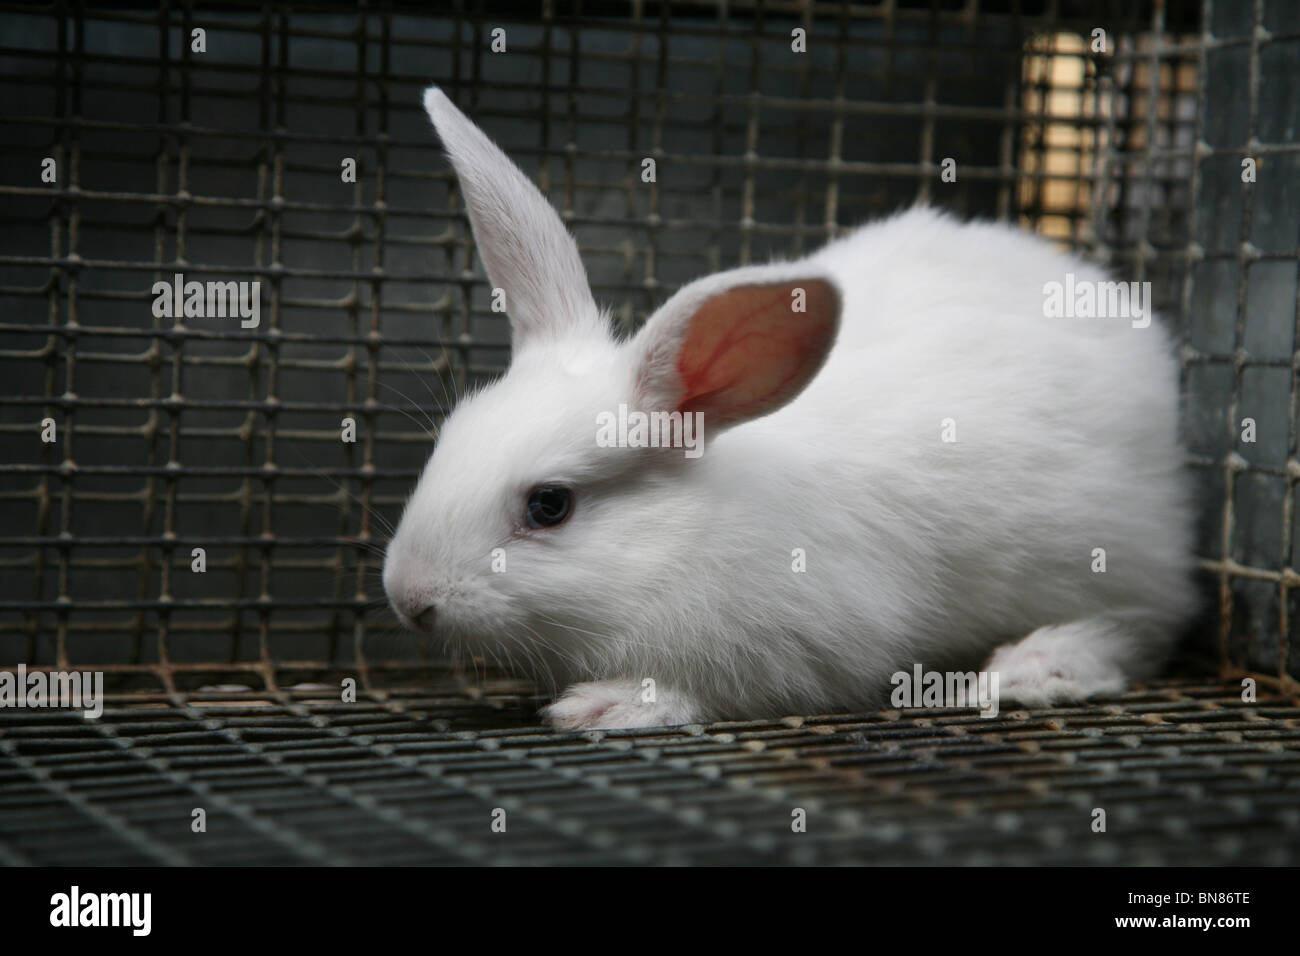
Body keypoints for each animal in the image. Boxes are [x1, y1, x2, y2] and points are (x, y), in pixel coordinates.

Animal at [382, 86, 1196, 731]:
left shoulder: (806, 644)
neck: (686, 534)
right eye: (444, 442)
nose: (408, 597)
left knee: (1144, 625)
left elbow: (720, 689)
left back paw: (1034, 667)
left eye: (549, 505)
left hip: (1111, 553)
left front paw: (609, 705)